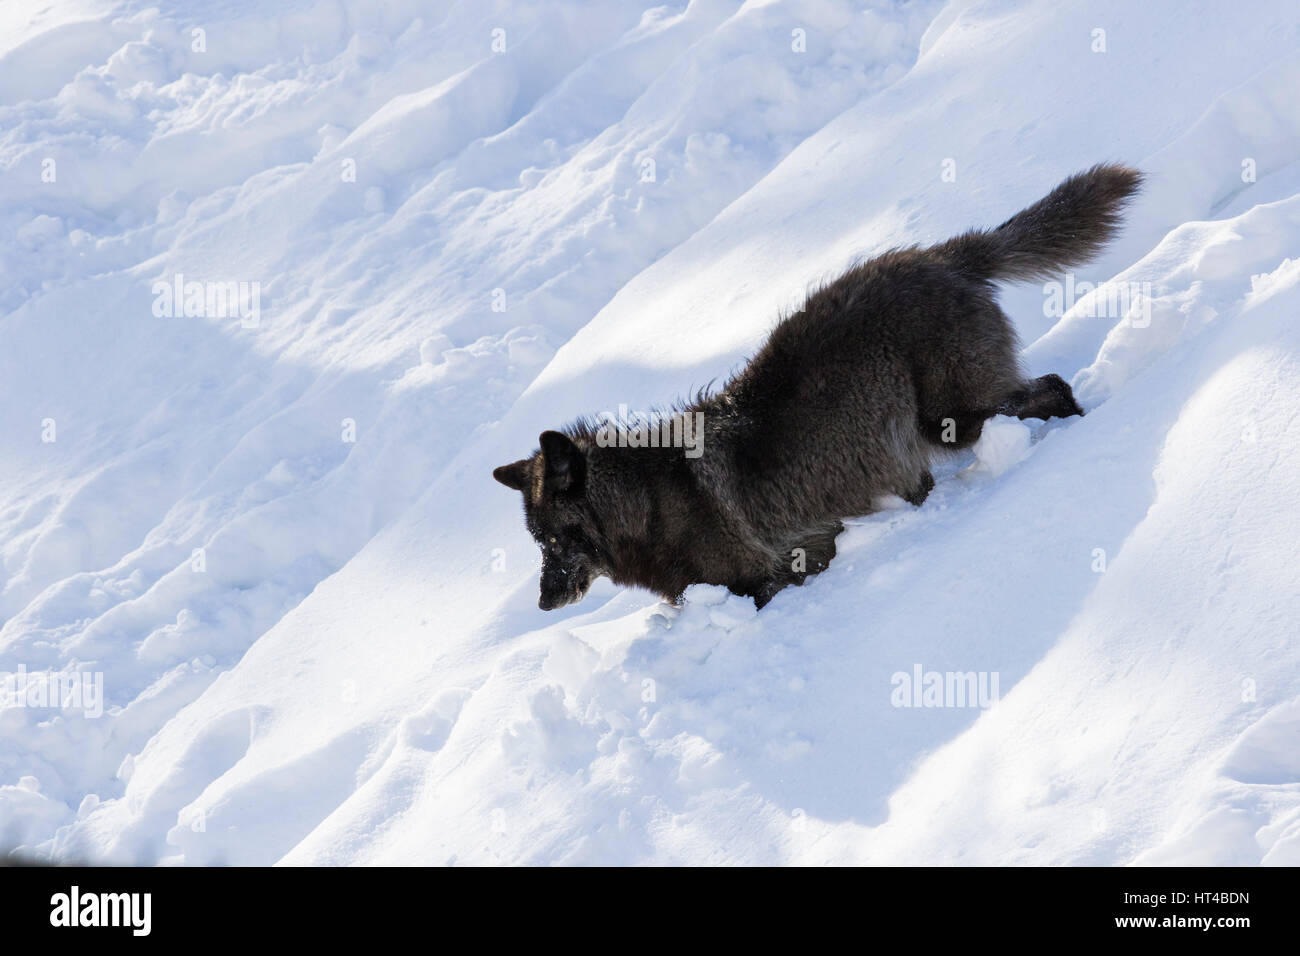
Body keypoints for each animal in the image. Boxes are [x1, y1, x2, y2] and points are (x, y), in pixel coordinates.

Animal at [494, 164, 1141, 610]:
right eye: (538, 544)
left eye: (555, 541)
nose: (544, 602)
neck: (647, 503)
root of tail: (943, 256)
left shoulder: (775, 579)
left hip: (956, 419)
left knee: (1054, 390)